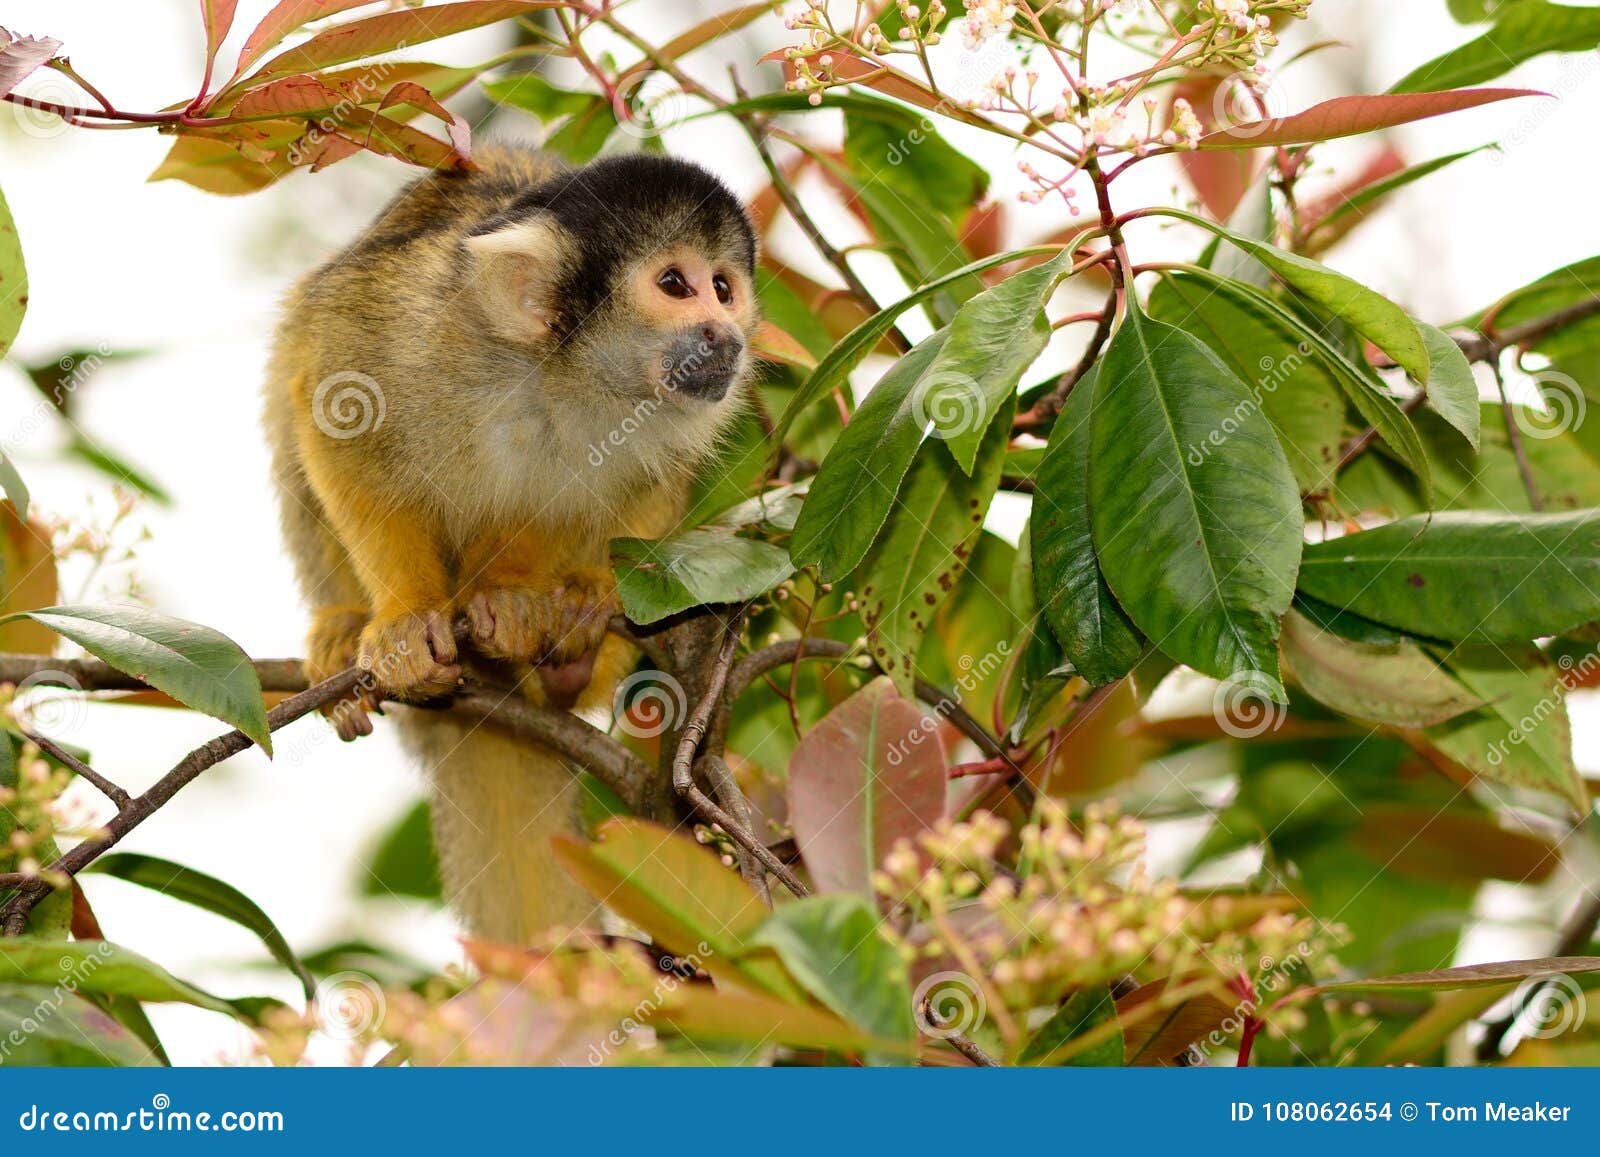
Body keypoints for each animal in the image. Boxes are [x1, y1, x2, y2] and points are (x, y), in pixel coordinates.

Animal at [263, 146, 759, 943]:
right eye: (676, 285)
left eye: (723, 287)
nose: (726, 334)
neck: (554, 376)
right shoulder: (413, 318)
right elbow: (333, 405)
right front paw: (406, 619)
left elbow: (576, 497)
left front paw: (512, 601)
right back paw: (346, 629)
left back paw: (571, 656)